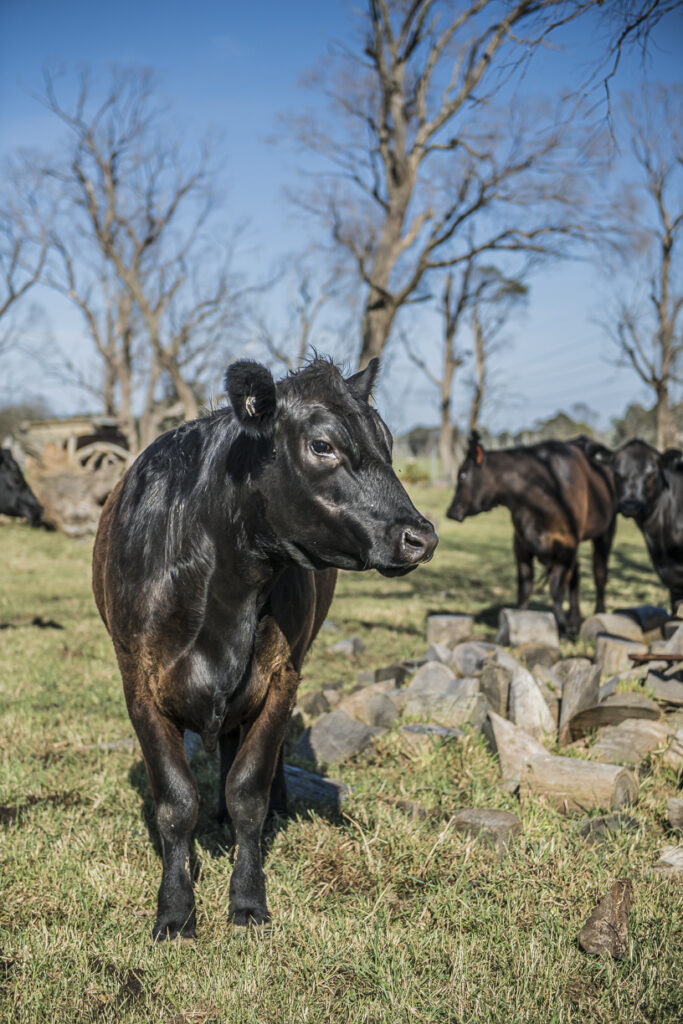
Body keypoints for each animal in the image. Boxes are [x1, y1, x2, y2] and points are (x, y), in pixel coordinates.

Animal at [92, 357, 437, 941]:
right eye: (322, 445)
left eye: (389, 442)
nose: (422, 537)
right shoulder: (138, 683)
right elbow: (175, 802)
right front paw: (175, 912)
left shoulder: (280, 678)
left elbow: (247, 790)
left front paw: (248, 901)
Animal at [446, 433, 617, 635]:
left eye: (462, 474)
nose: (451, 511)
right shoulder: (521, 543)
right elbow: (525, 586)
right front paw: (517, 621)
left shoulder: (566, 545)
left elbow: (556, 588)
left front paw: (562, 627)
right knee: (576, 573)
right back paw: (574, 618)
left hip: (605, 530)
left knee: (599, 572)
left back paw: (599, 612)